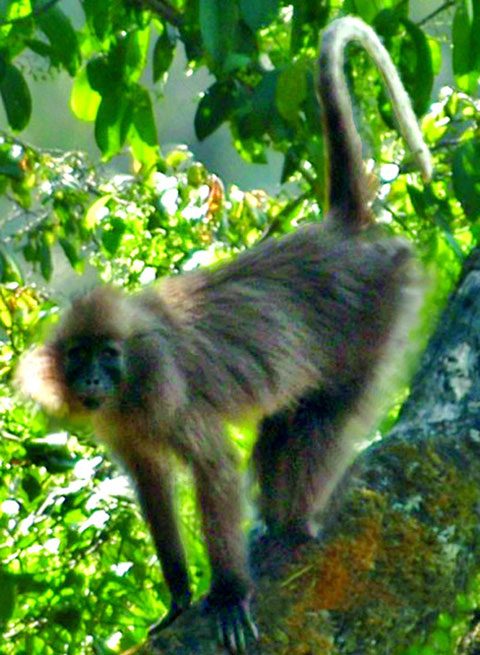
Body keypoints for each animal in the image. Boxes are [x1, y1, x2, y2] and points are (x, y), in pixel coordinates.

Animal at [16, 16, 432, 655]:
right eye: (80, 356)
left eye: (108, 356)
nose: (91, 379)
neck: (134, 379)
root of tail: (340, 233)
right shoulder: (125, 427)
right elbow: (152, 483)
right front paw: (180, 595)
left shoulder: (172, 398)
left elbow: (214, 468)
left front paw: (230, 594)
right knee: (284, 425)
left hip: (376, 313)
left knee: (321, 416)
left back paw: (295, 526)